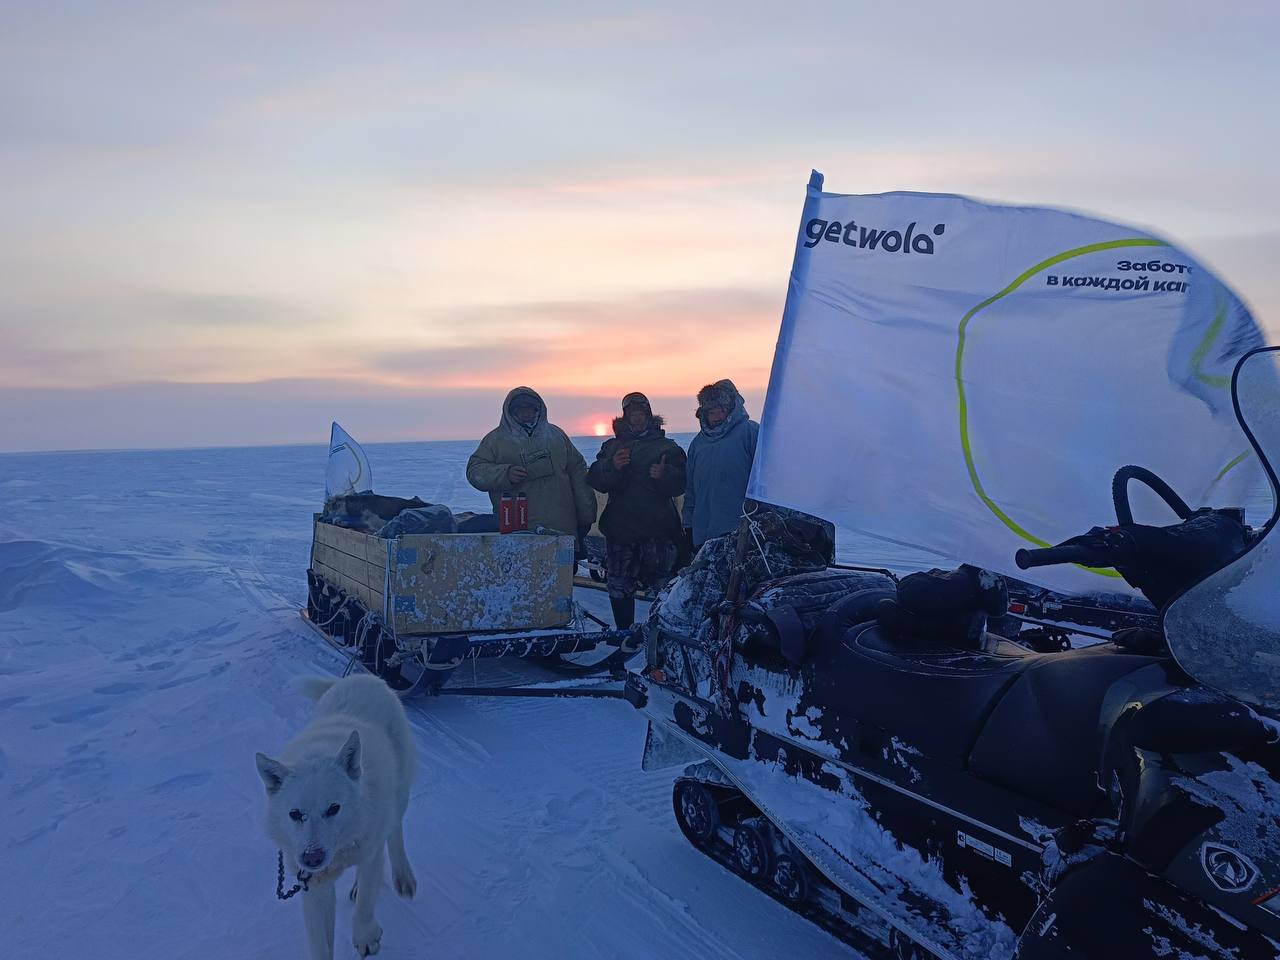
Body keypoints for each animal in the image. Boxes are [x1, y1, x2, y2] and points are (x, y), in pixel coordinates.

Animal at [256, 675, 419, 960]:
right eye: (295, 814)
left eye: (334, 808)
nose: (312, 858)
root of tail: (365, 677)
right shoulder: (314, 888)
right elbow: (321, 945)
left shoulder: (369, 850)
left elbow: (365, 903)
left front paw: (365, 935)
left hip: (398, 796)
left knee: (393, 831)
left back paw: (402, 874)